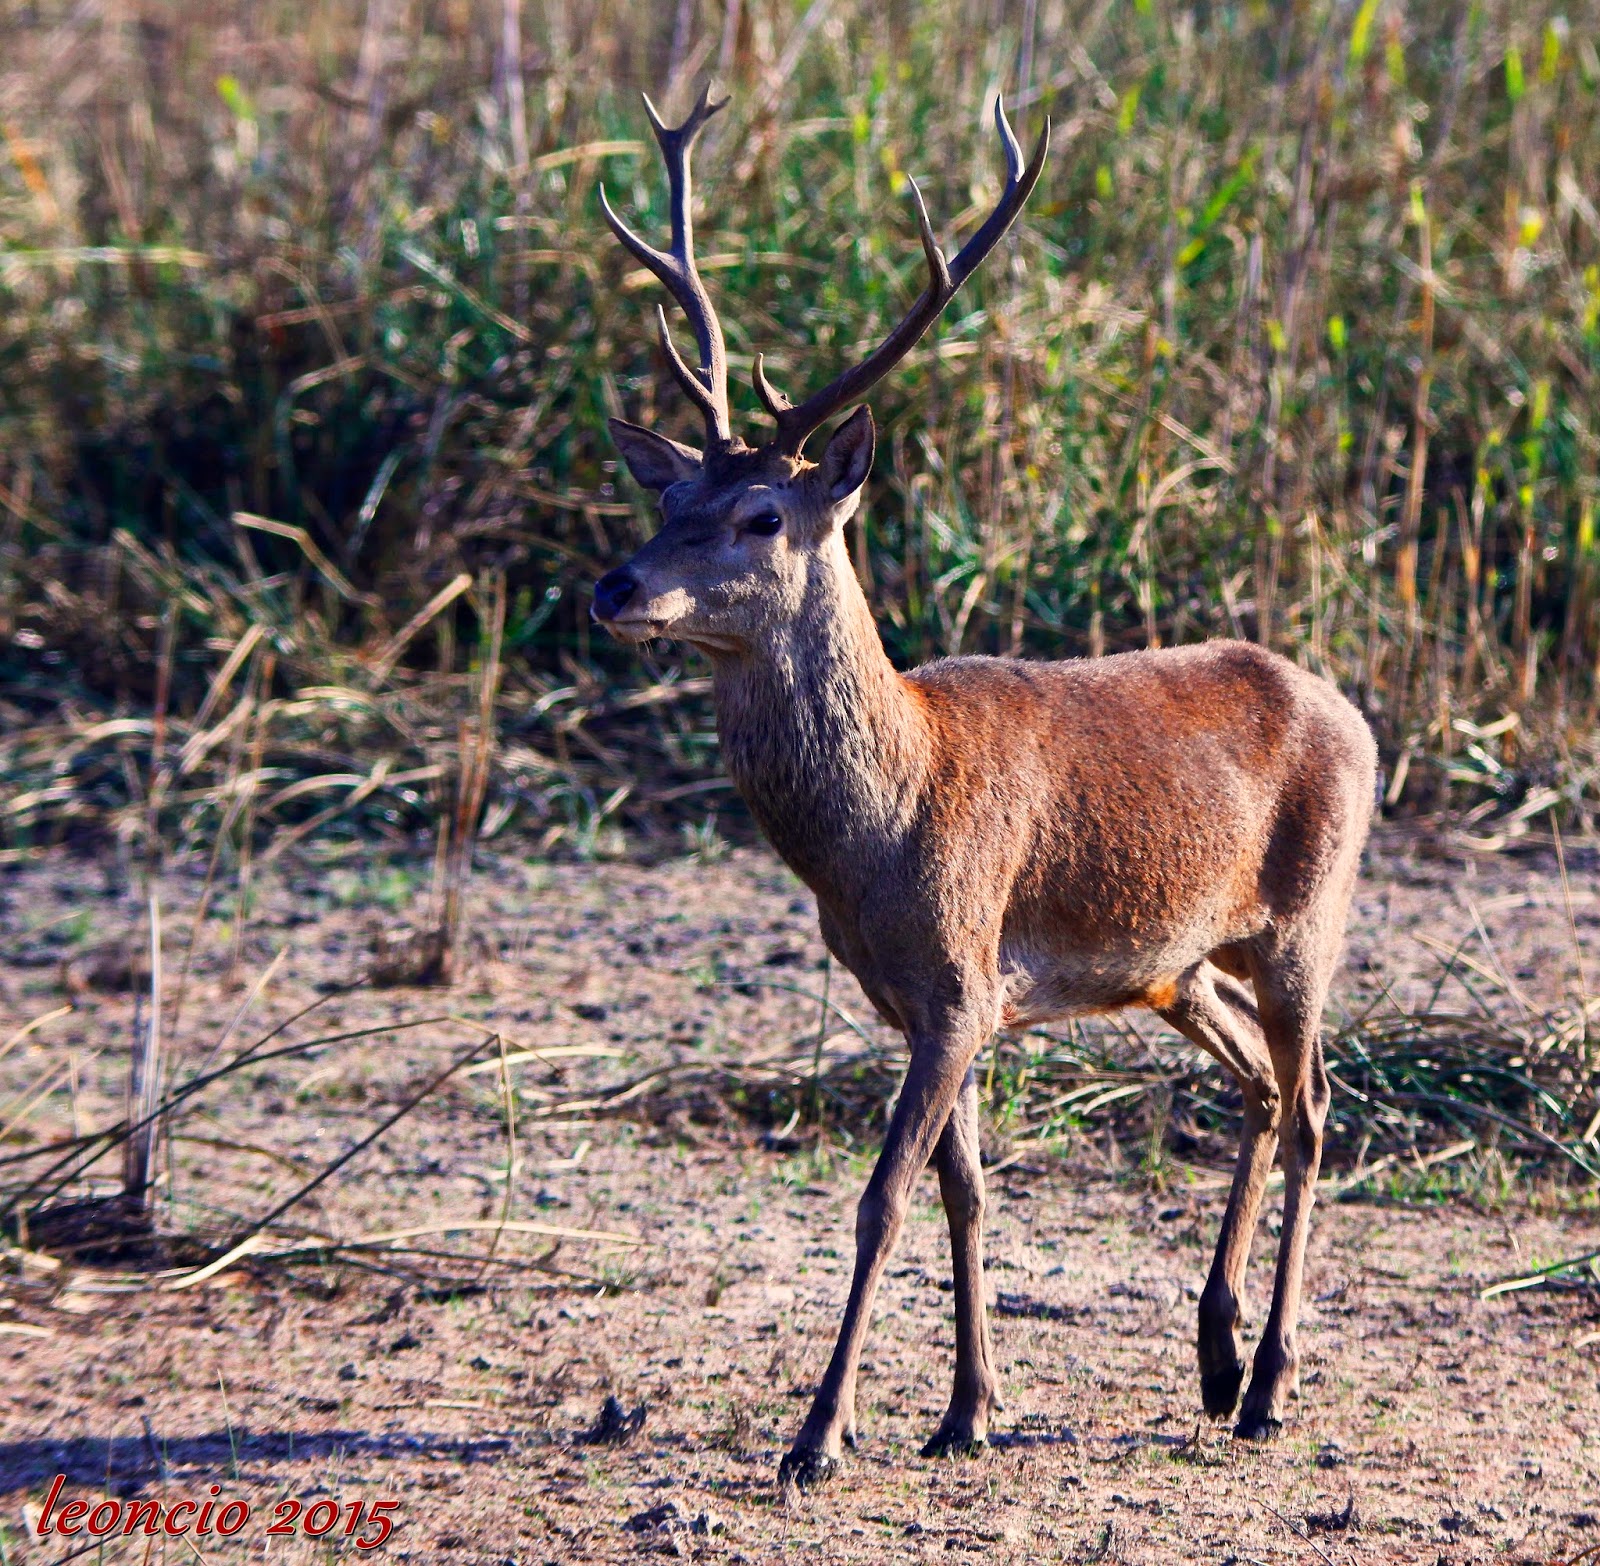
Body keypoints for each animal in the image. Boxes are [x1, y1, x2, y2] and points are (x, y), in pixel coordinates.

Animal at [589, 85, 1377, 1489]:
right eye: (668, 489)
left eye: (760, 515)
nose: (613, 587)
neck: (884, 825)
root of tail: (1354, 715)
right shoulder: (917, 998)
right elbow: (966, 1188)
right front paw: (966, 1409)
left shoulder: (959, 982)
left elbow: (881, 1198)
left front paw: (818, 1436)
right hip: (1177, 963)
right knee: (1255, 1083)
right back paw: (1214, 1354)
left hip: (1306, 920)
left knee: (1314, 1110)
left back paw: (1271, 1384)